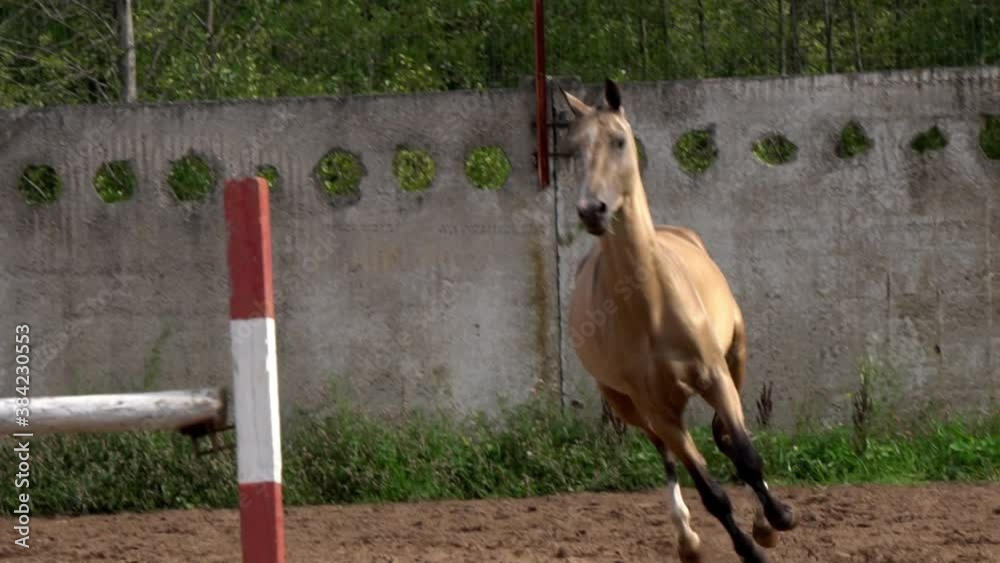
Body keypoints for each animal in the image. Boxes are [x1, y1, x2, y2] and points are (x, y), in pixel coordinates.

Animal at [564, 79, 798, 563]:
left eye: (619, 140)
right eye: (572, 149)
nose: (592, 210)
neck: (649, 306)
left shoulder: (715, 376)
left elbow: (746, 455)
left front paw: (776, 521)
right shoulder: (657, 408)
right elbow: (710, 492)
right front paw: (749, 549)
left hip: (736, 355)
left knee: (727, 438)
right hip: (626, 405)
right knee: (665, 454)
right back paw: (686, 538)